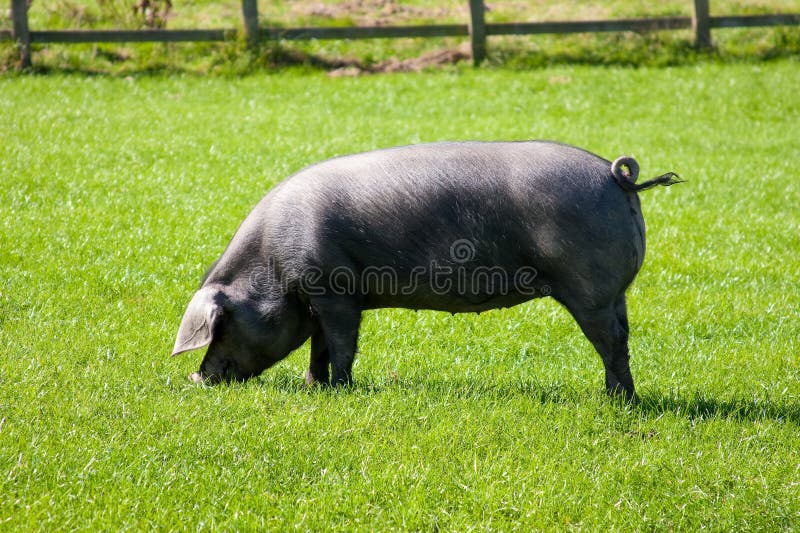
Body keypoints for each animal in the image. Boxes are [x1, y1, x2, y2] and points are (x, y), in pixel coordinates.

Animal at [172, 141, 680, 400]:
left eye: (220, 325)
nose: (197, 378)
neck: (272, 265)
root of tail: (617, 175)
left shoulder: (337, 291)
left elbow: (341, 343)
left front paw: (341, 390)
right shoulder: (321, 299)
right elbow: (319, 345)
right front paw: (313, 386)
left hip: (588, 289)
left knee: (611, 344)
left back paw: (618, 402)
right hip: (613, 293)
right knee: (622, 337)